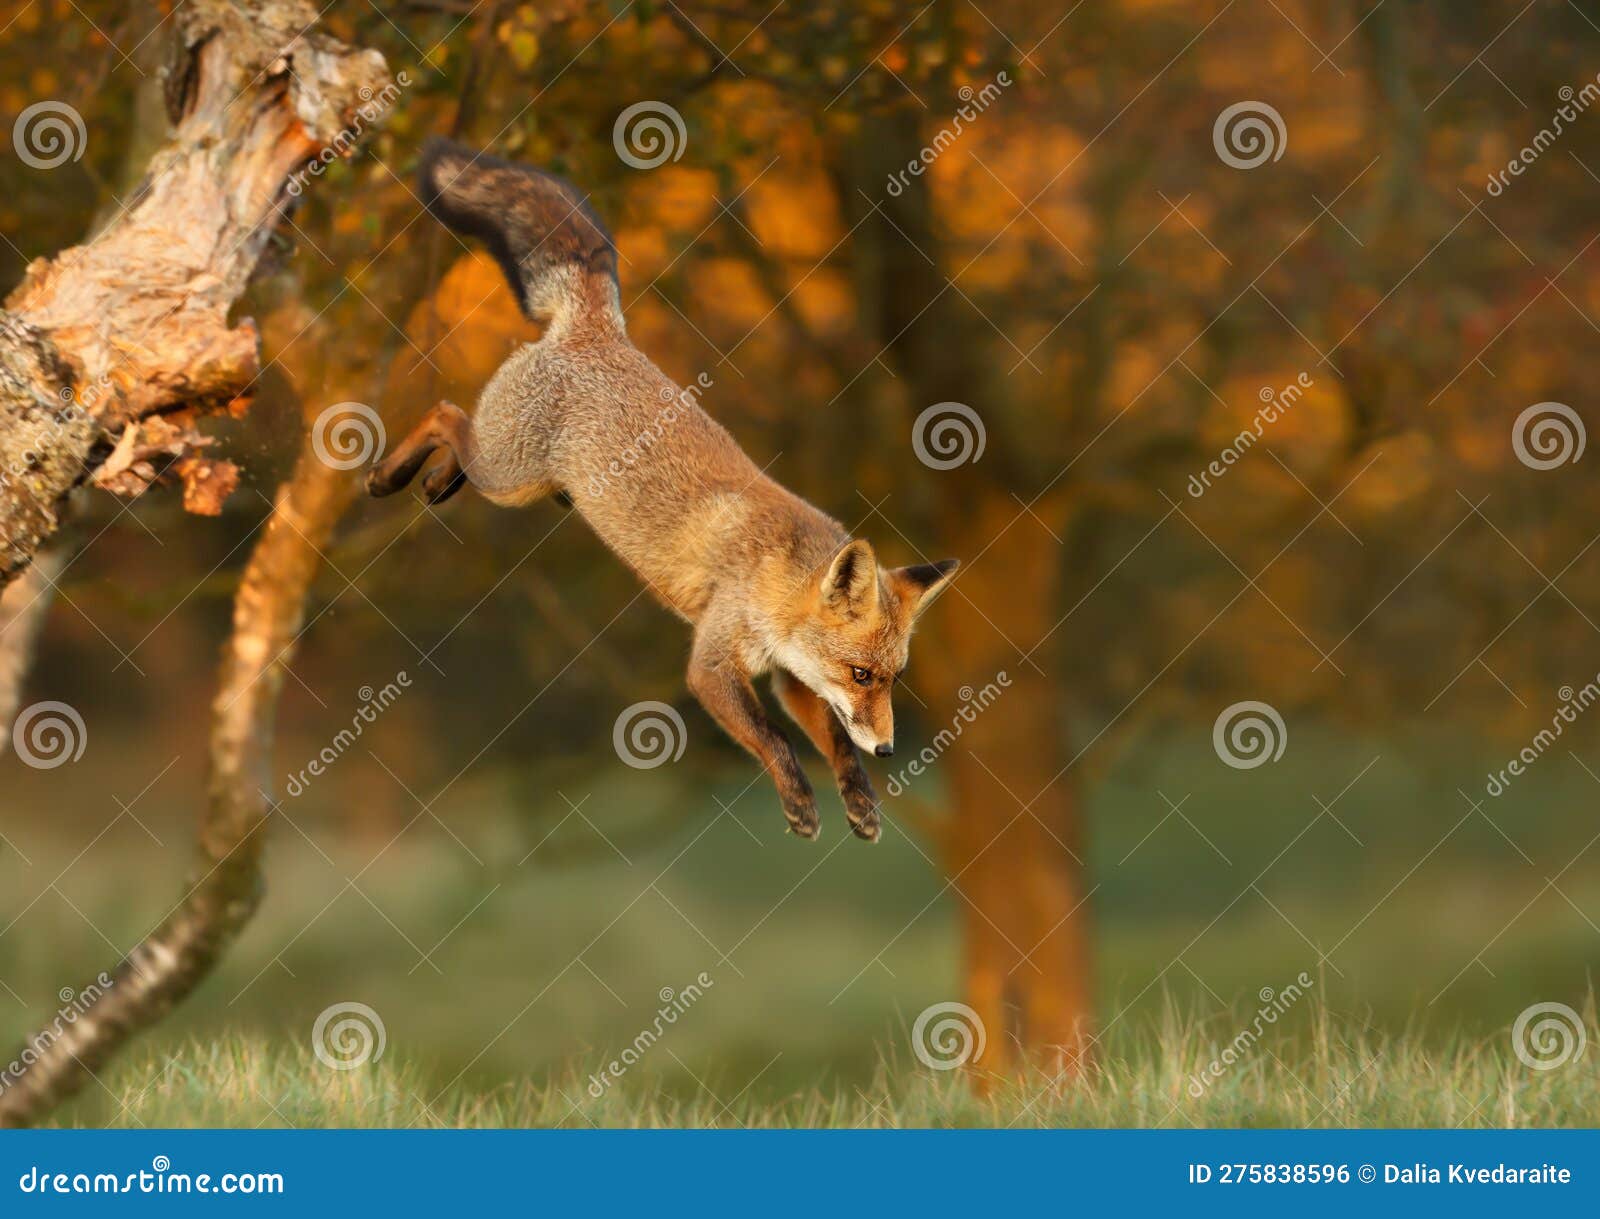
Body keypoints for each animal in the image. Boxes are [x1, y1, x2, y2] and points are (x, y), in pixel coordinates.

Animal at [366, 137, 958, 842]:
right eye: (861, 673)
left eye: (893, 678)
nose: (891, 749)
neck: (776, 581)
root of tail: (598, 329)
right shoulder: (713, 663)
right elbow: (773, 738)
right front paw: (798, 801)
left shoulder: (792, 678)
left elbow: (834, 740)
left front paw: (861, 800)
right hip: (508, 476)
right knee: (444, 411)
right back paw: (389, 475)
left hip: (522, 479)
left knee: (459, 435)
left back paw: (434, 480)